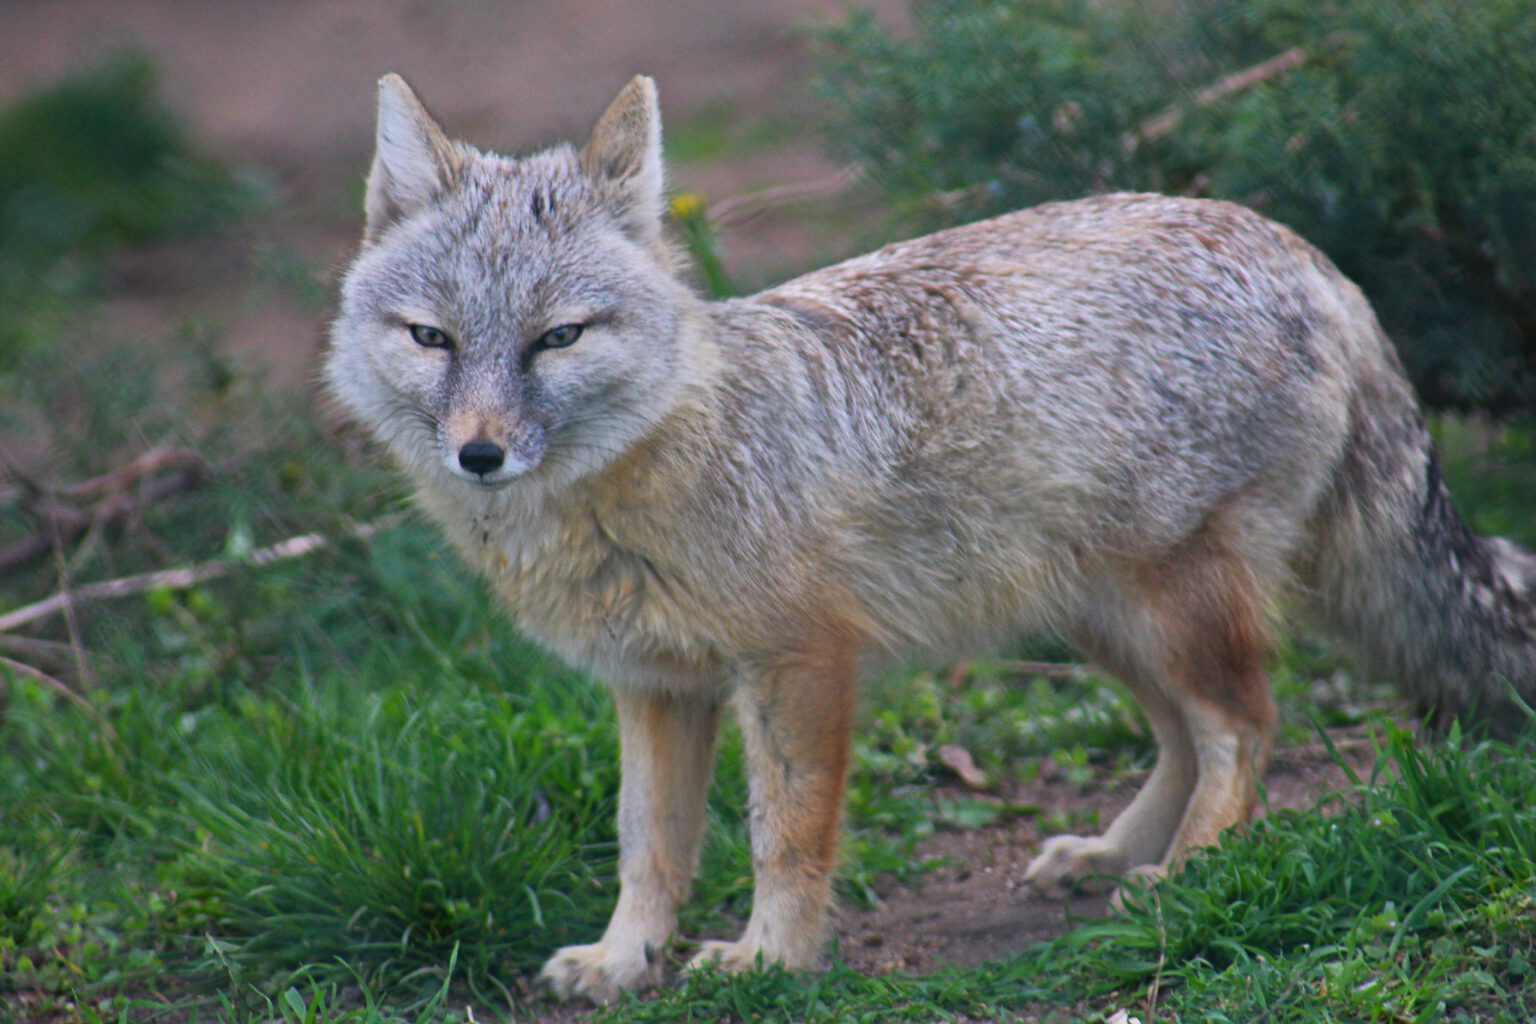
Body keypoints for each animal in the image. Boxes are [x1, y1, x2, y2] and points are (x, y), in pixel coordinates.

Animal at [325, 74, 1536, 1002]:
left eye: (557, 338)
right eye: (433, 339)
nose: (479, 453)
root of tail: (1305, 251)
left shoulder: (799, 665)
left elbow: (783, 835)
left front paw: (771, 959)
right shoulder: (657, 687)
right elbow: (648, 846)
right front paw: (626, 961)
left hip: (1169, 606)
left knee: (1245, 726)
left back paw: (1192, 873)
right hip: (1093, 620)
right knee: (1187, 739)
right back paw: (1110, 853)